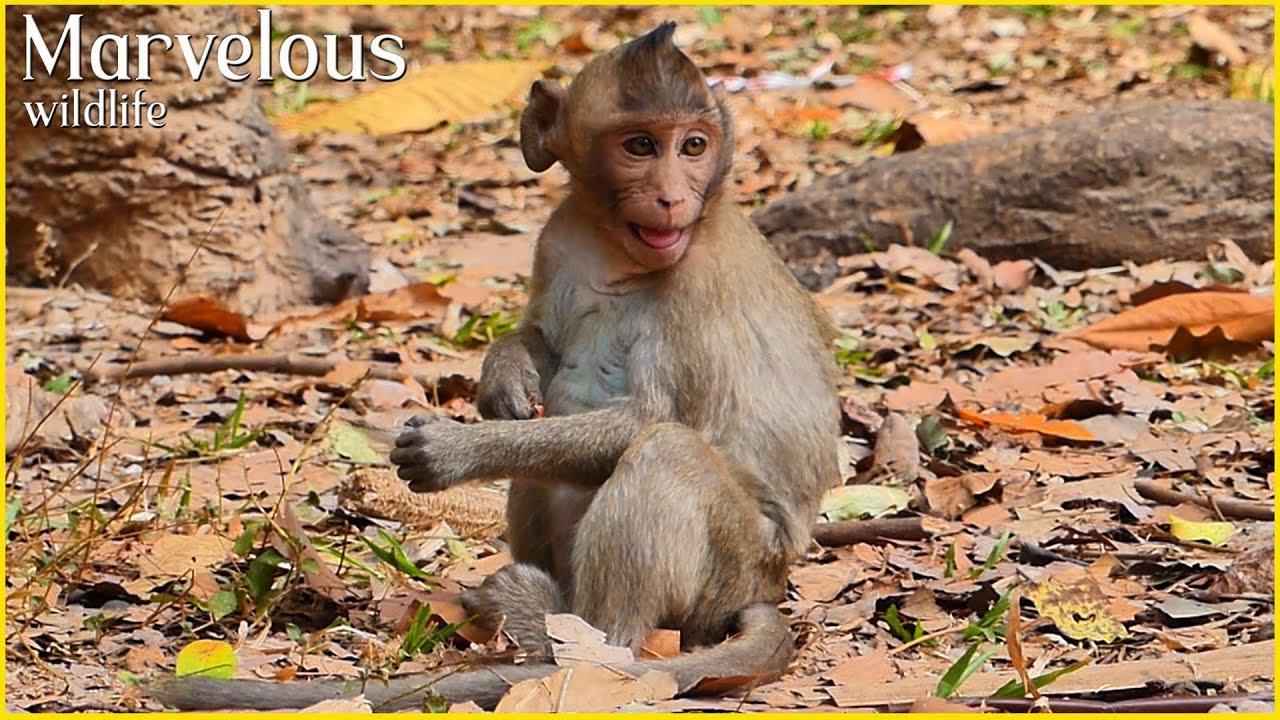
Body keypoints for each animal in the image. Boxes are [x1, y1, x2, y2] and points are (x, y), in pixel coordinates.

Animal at [151, 22, 840, 712]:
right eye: (642, 145)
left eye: (694, 145)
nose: (672, 197)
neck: (616, 247)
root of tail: (769, 585)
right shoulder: (557, 235)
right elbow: (542, 342)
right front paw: (503, 375)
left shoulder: (696, 282)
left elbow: (648, 417)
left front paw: (460, 449)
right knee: (548, 467)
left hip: (735, 565)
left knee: (664, 454)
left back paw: (575, 640)